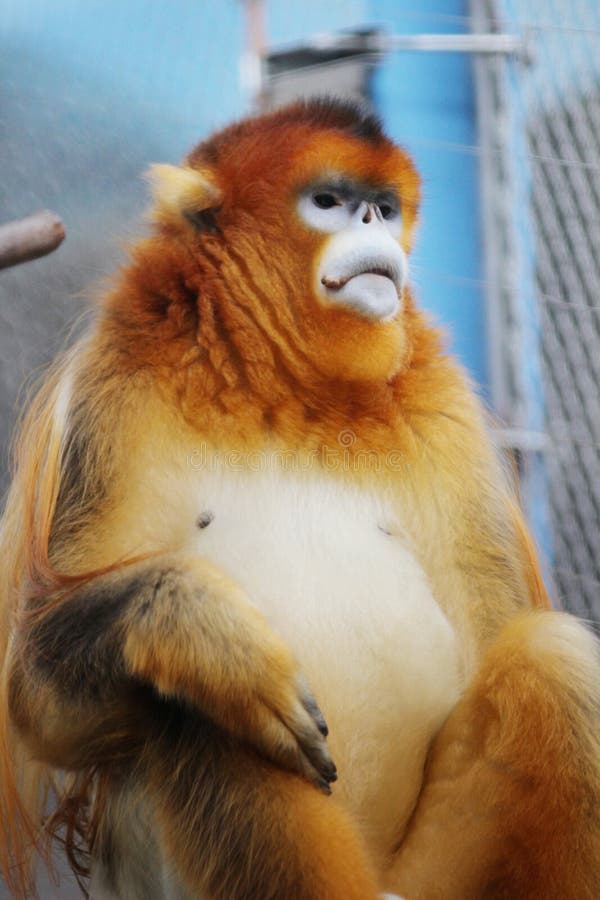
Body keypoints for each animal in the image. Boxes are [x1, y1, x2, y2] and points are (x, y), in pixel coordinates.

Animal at [1, 97, 600, 900]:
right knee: (197, 702)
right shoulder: (112, 386)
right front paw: (202, 632)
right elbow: (35, 699)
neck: (287, 390)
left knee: (554, 658)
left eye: (384, 207)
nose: (373, 224)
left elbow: (501, 638)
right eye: (330, 202)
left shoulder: (445, 409)